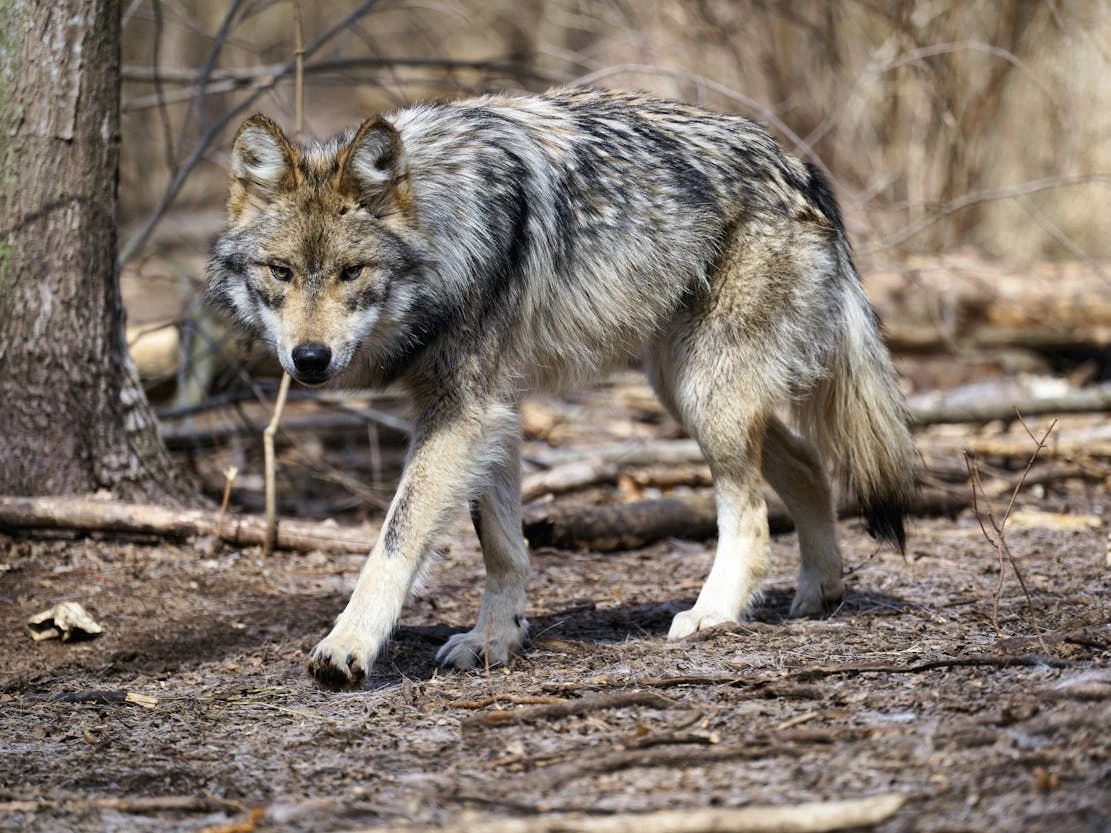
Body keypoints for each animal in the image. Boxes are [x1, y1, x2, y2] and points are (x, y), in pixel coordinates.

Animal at [206, 87, 917, 690]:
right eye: (281, 271)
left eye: (352, 272)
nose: (309, 358)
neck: (447, 225)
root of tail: (799, 167)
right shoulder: (486, 412)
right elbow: (503, 546)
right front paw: (495, 641)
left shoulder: (463, 412)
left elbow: (395, 540)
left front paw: (347, 645)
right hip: (684, 389)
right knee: (810, 466)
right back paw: (819, 594)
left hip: (705, 395)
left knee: (751, 515)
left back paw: (712, 615)